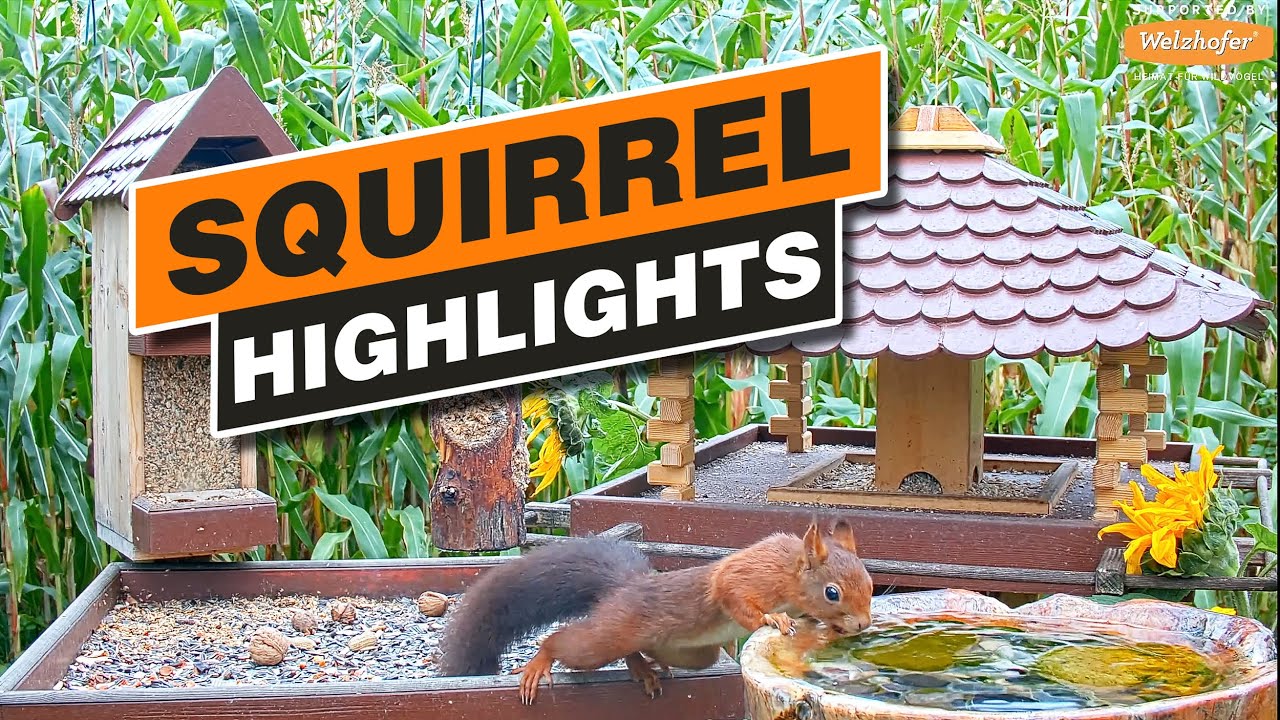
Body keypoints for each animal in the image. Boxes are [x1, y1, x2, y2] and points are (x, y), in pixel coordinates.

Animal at [439, 520, 873, 704]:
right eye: (832, 592)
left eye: (870, 584)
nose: (863, 624)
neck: (788, 570)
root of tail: (625, 588)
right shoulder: (746, 576)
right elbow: (735, 597)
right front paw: (773, 620)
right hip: (605, 637)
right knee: (566, 642)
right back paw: (539, 663)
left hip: (693, 653)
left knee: (647, 652)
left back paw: (646, 668)